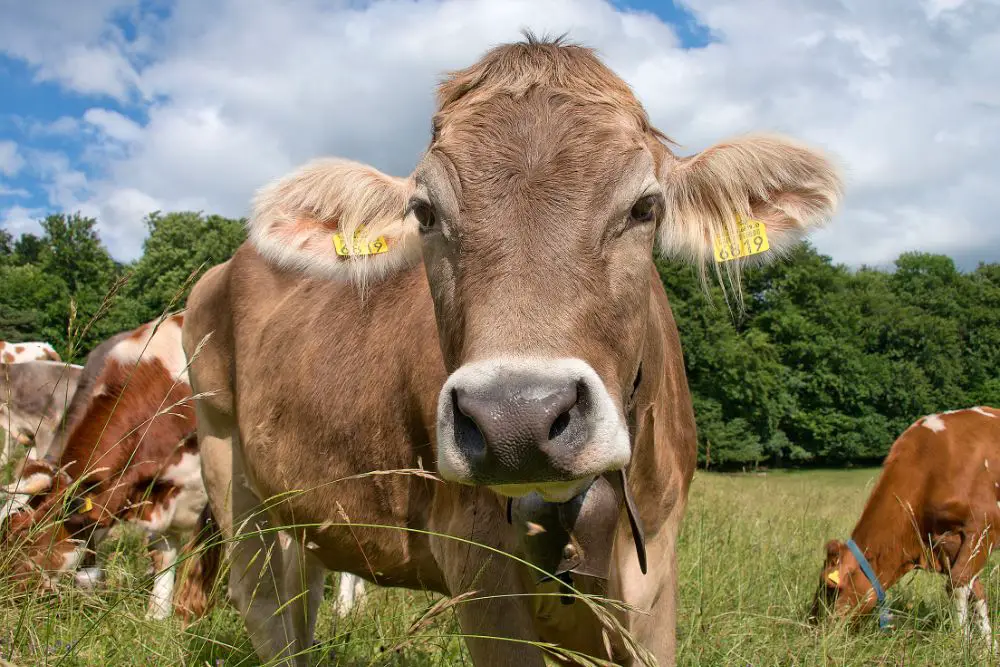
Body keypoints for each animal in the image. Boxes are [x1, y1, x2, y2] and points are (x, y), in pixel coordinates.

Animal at [182, 34, 841, 666]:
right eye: (425, 213)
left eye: (644, 207)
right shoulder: (479, 572)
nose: (515, 418)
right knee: (267, 608)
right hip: (228, 466)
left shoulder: (655, 573)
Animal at [811, 406, 1000, 647]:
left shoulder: (982, 528)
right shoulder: (947, 542)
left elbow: (957, 586)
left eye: (830, 587)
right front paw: (988, 648)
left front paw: (960, 644)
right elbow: (976, 592)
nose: (814, 628)